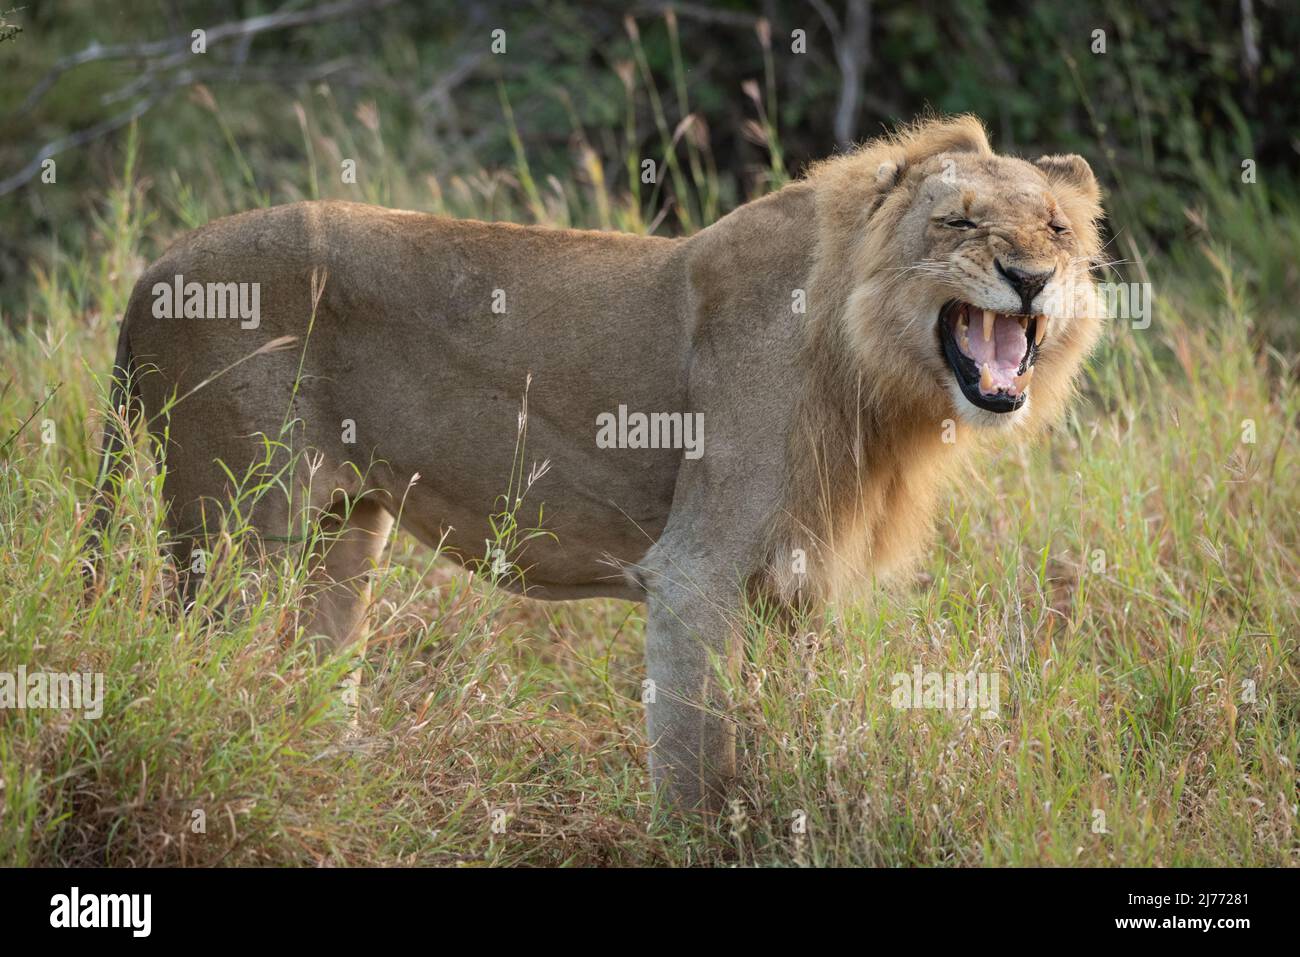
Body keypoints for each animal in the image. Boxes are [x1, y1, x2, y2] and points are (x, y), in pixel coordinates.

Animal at [90, 115, 1104, 811]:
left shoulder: (797, 582)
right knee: (199, 665)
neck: (874, 376)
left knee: (313, 670)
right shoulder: (695, 571)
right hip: (233, 530)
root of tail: (152, 270)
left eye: (1056, 229)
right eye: (959, 222)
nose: (1029, 278)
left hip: (340, 532)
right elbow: (698, 763)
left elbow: (792, 726)